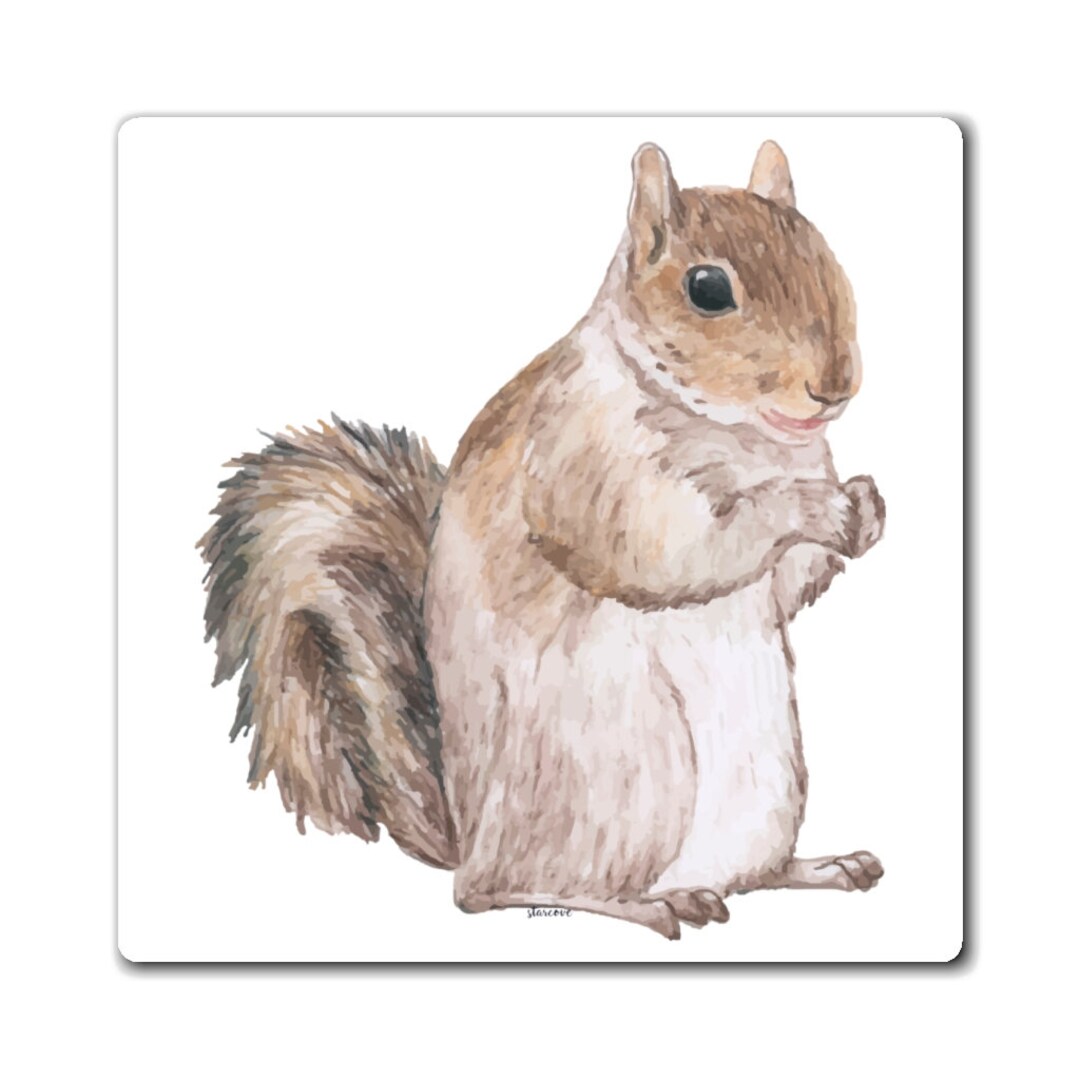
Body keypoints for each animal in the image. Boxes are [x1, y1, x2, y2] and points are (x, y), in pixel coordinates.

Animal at [199, 140, 886, 940]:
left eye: (824, 253)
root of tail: (468, 834)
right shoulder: (582, 462)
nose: (835, 385)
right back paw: (648, 902)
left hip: (768, 781)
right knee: (499, 891)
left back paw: (817, 867)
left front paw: (866, 509)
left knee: (750, 873)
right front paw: (803, 508)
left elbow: (789, 586)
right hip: (620, 780)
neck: (740, 435)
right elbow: (670, 550)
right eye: (708, 288)